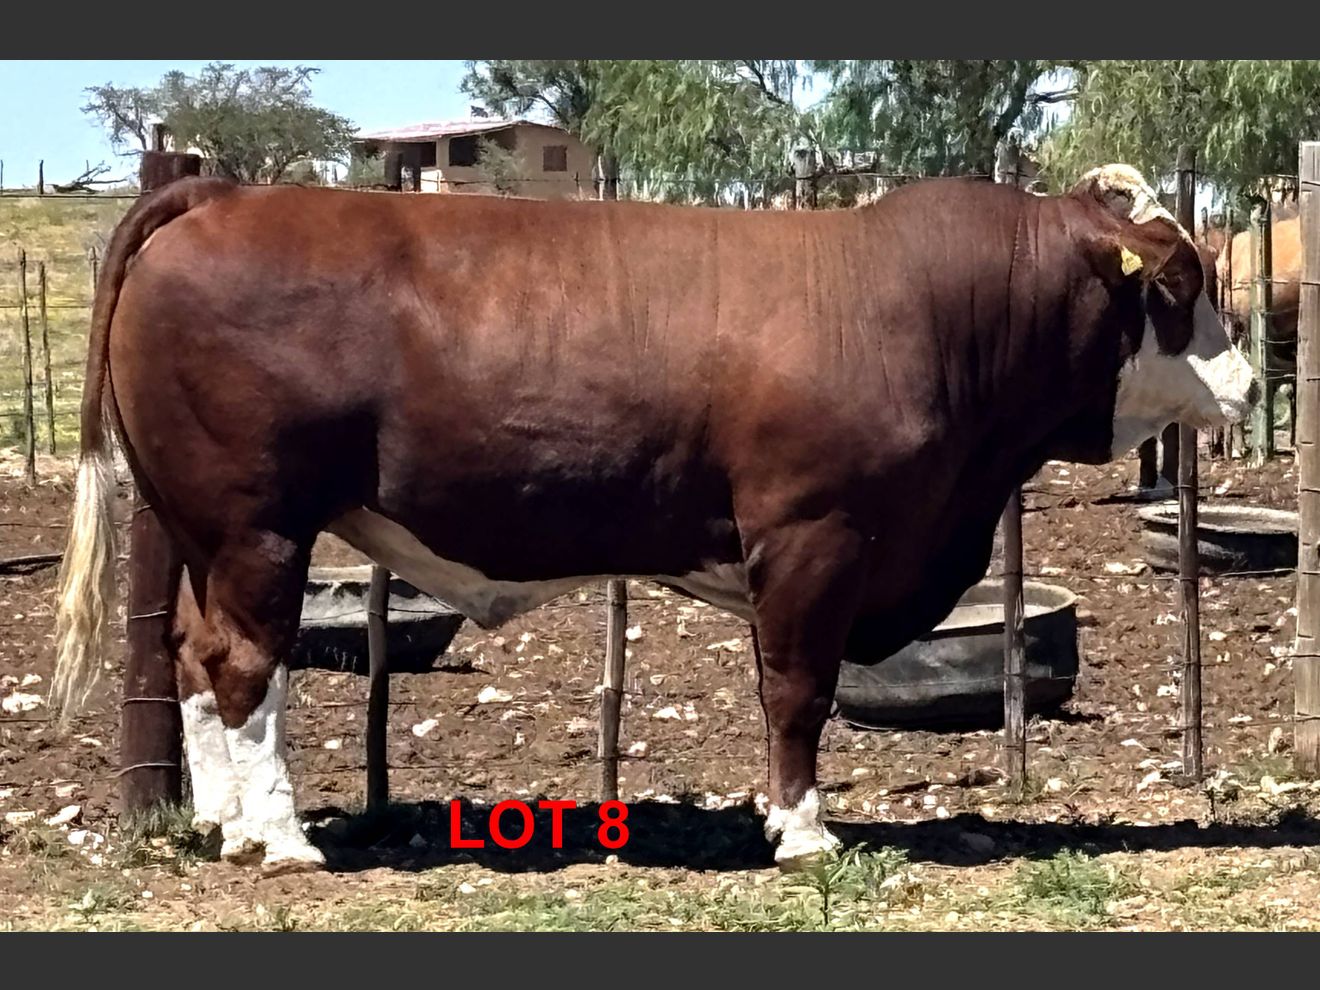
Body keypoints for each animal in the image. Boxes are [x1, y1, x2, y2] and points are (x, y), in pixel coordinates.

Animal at [51, 163, 1254, 875]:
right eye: (1179, 281)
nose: (1245, 382)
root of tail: (222, 194)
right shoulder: (813, 534)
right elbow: (797, 690)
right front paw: (803, 832)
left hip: (203, 526)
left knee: (194, 653)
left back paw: (225, 821)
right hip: (256, 522)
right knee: (248, 660)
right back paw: (283, 837)